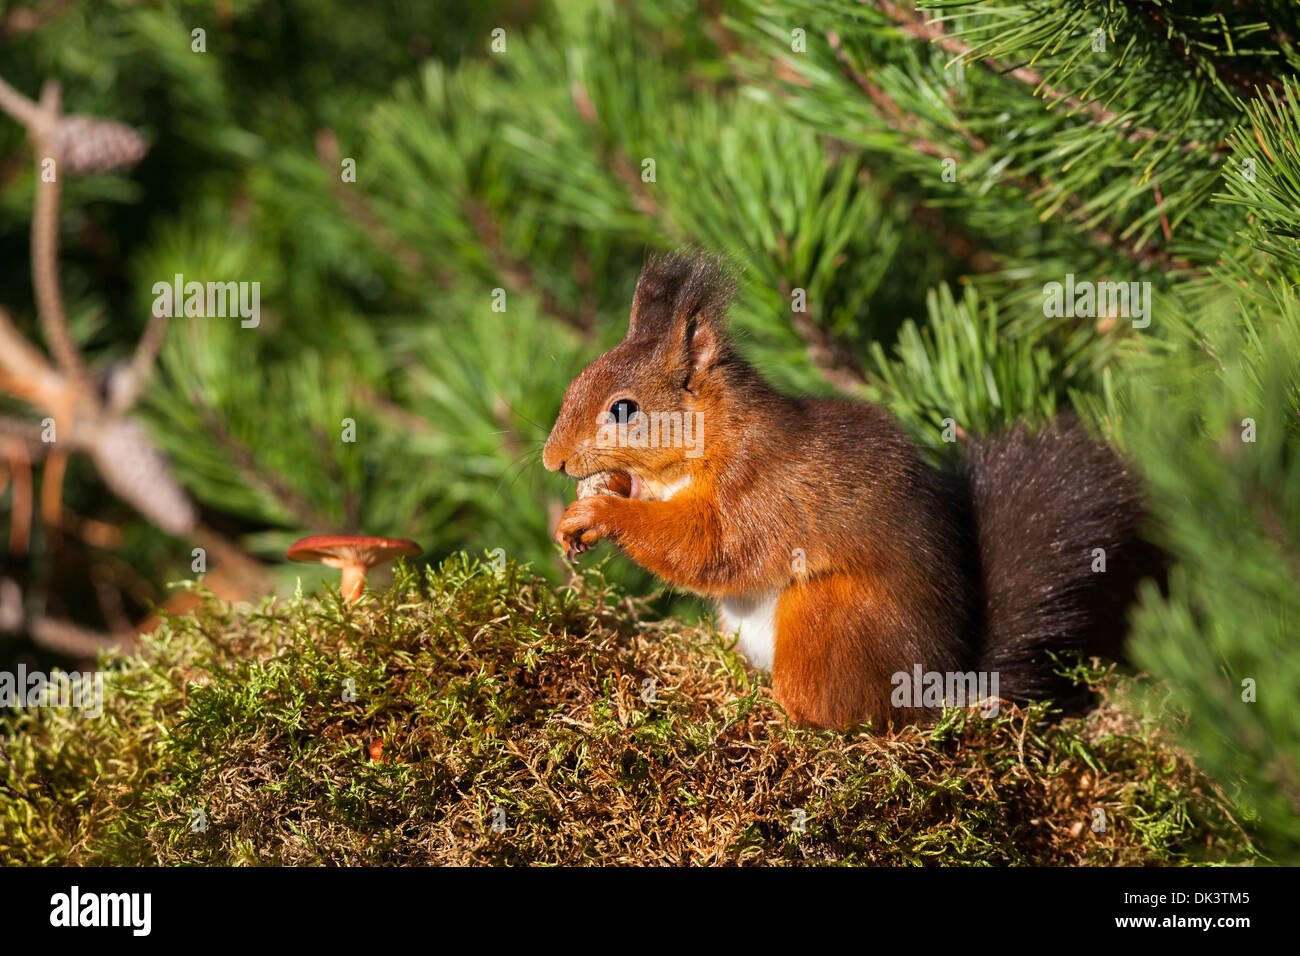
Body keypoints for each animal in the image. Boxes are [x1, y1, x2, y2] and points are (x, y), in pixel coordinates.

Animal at [543, 250, 1157, 730]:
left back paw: (781, 714)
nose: (553, 460)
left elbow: (707, 549)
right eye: (575, 381)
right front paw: (592, 501)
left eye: (624, 410)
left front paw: (601, 512)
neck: (710, 440)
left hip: (829, 619)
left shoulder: (758, 491)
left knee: (845, 713)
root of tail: (940, 684)